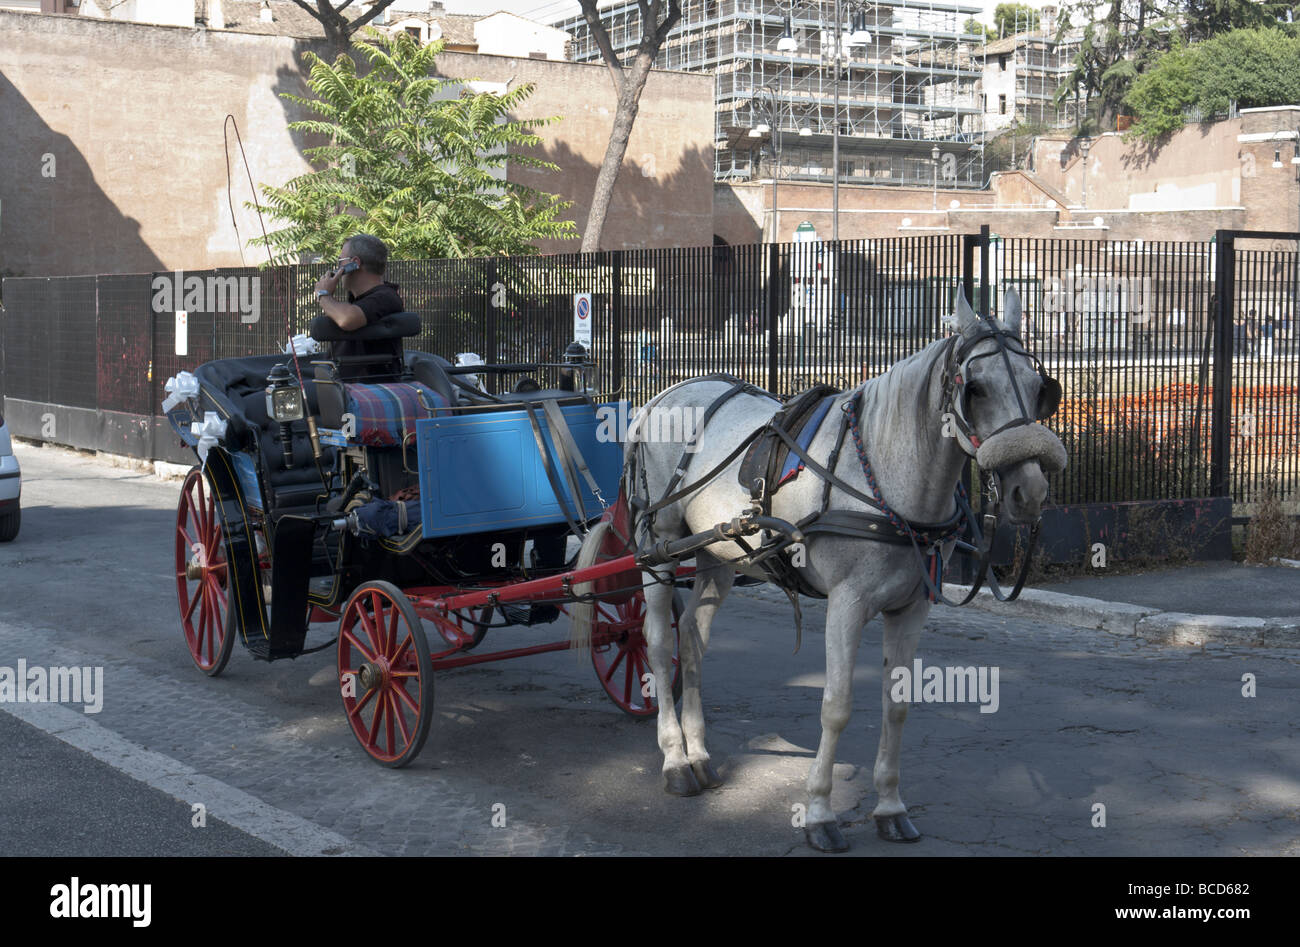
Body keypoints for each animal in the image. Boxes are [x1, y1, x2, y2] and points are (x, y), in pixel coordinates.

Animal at [580, 288, 1066, 852]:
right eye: (978, 389)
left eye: (1040, 389)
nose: (1029, 491)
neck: (886, 474)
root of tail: (658, 399)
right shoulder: (847, 604)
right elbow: (836, 707)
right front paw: (819, 814)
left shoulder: (912, 608)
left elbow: (897, 705)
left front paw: (890, 807)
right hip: (656, 548)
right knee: (658, 646)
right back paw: (676, 760)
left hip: (718, 556)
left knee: (693, 644)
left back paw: (699, 756)